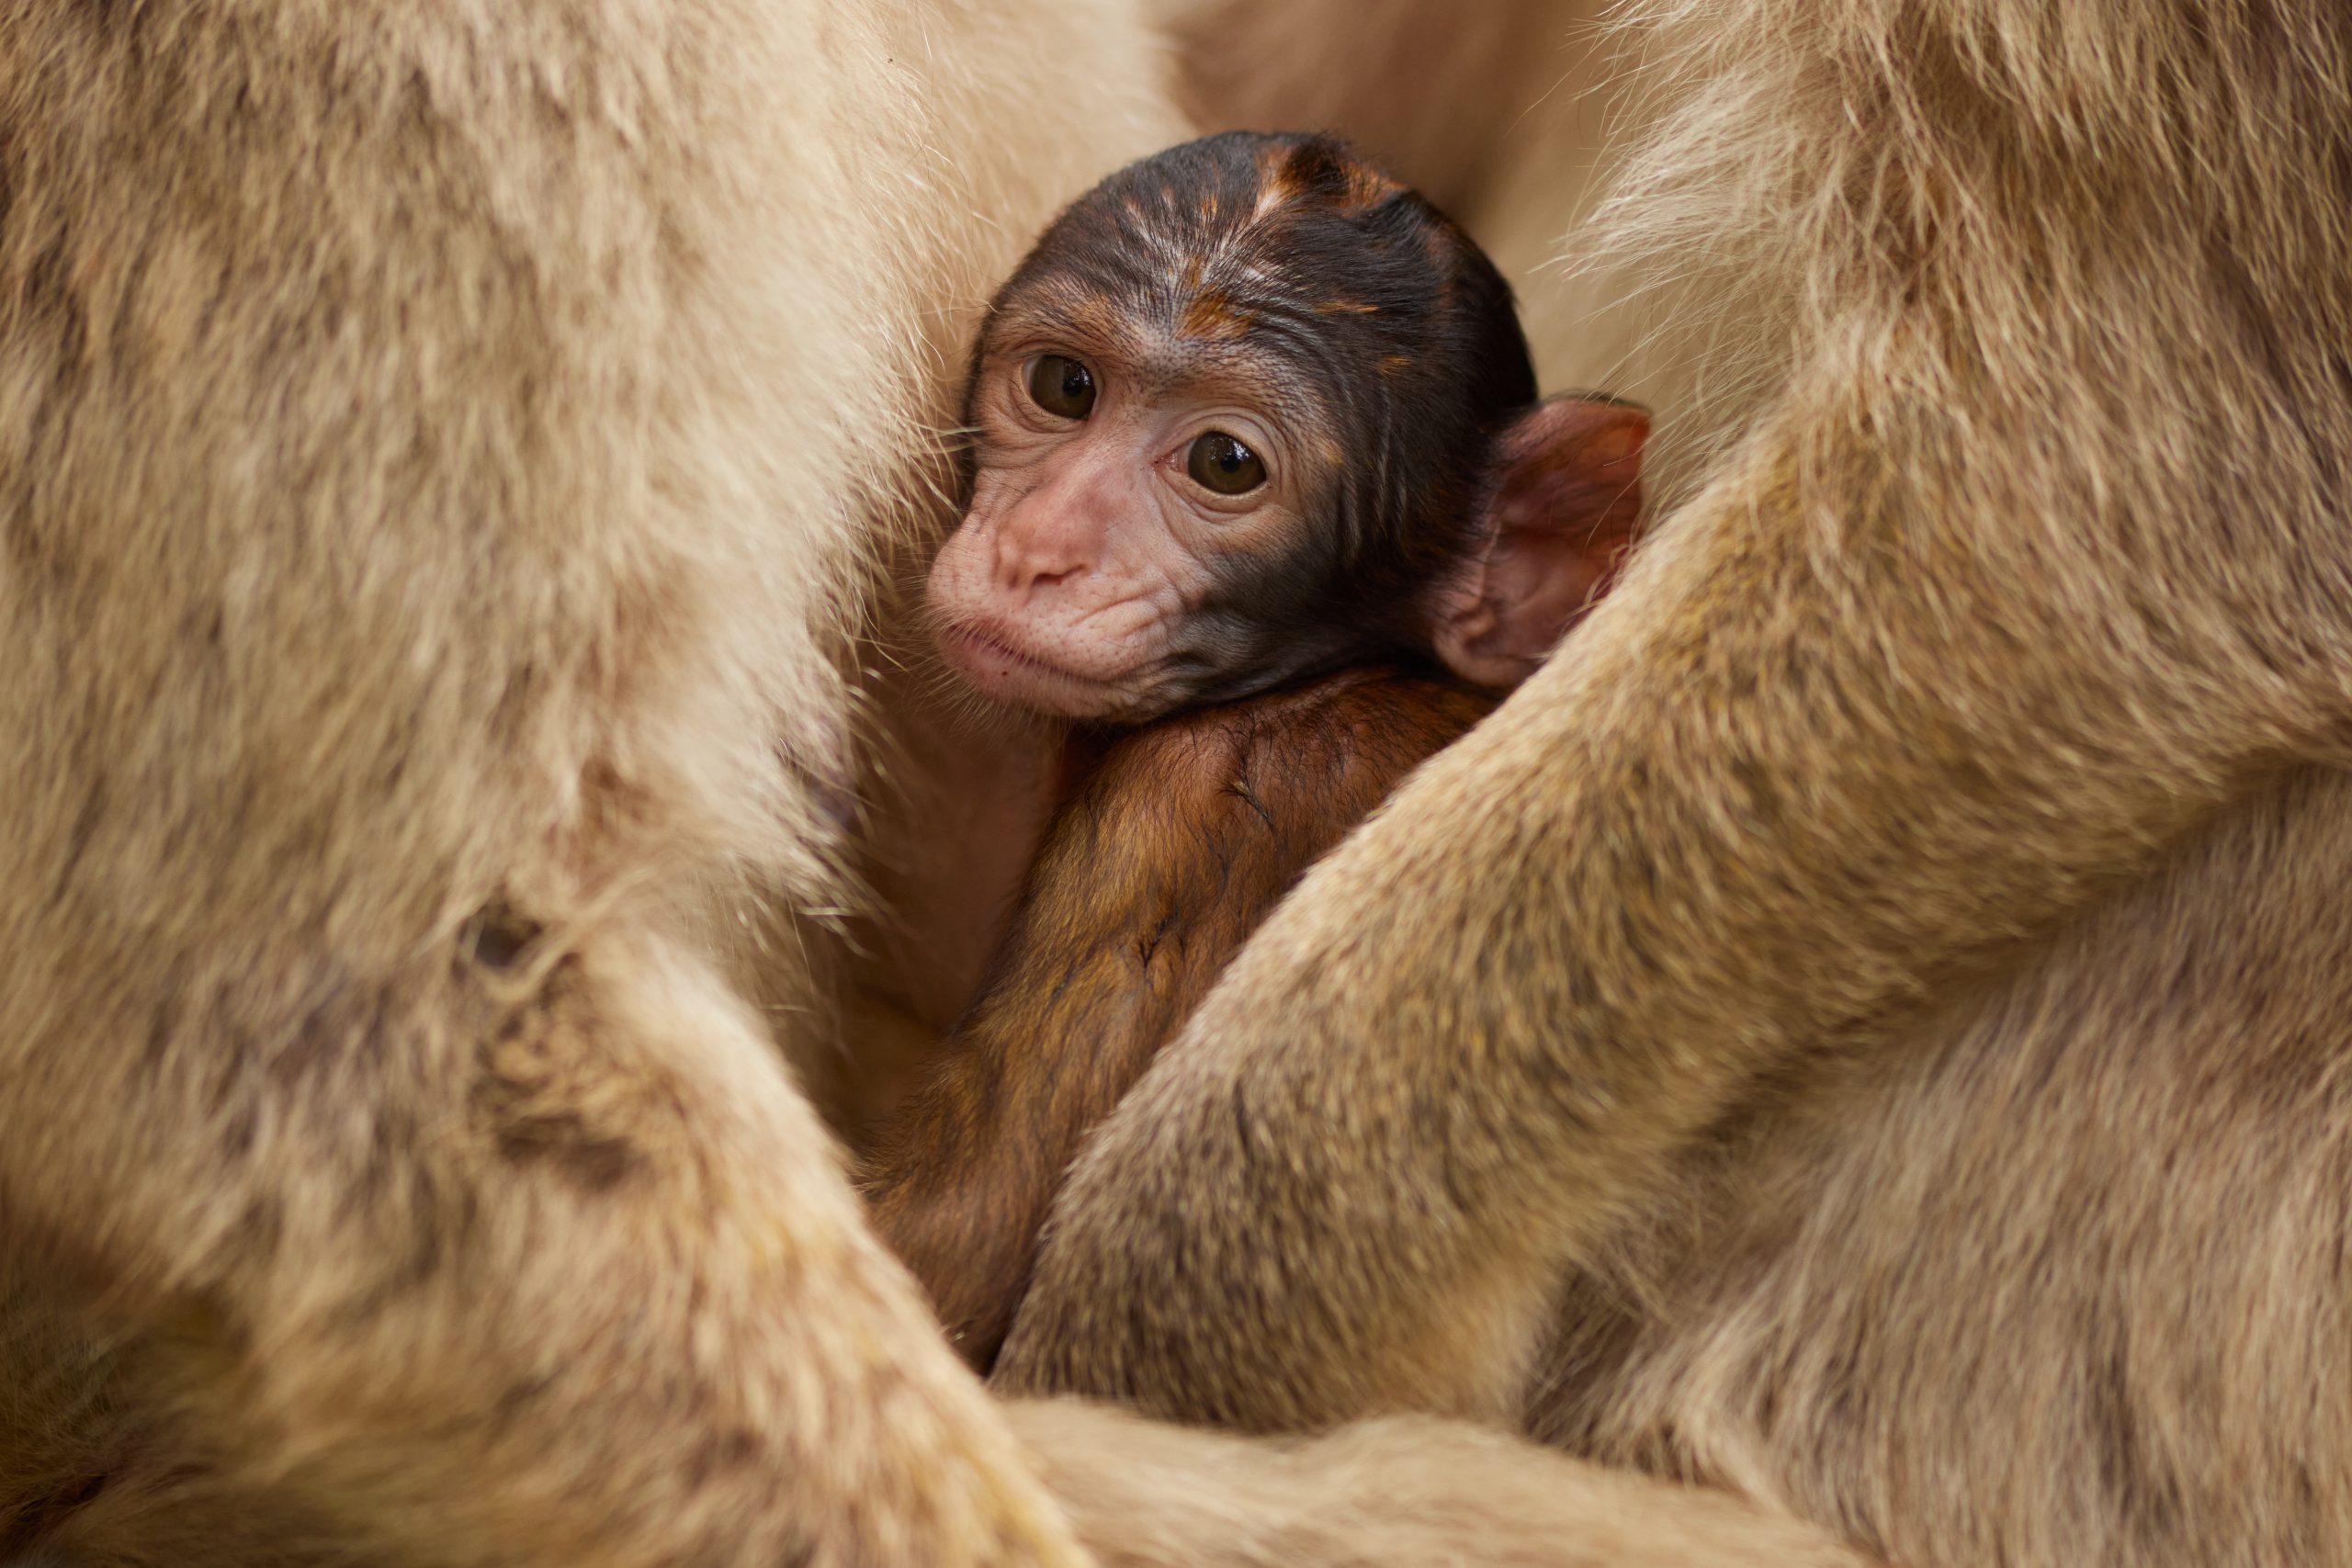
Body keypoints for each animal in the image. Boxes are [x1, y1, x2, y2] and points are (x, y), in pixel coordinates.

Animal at [866, 130, 1647, 1367]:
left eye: (1225, 464)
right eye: (1064, 387)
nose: (1038, 550)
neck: (1321, 678)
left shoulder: (1174, 815)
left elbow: (939, 1260)